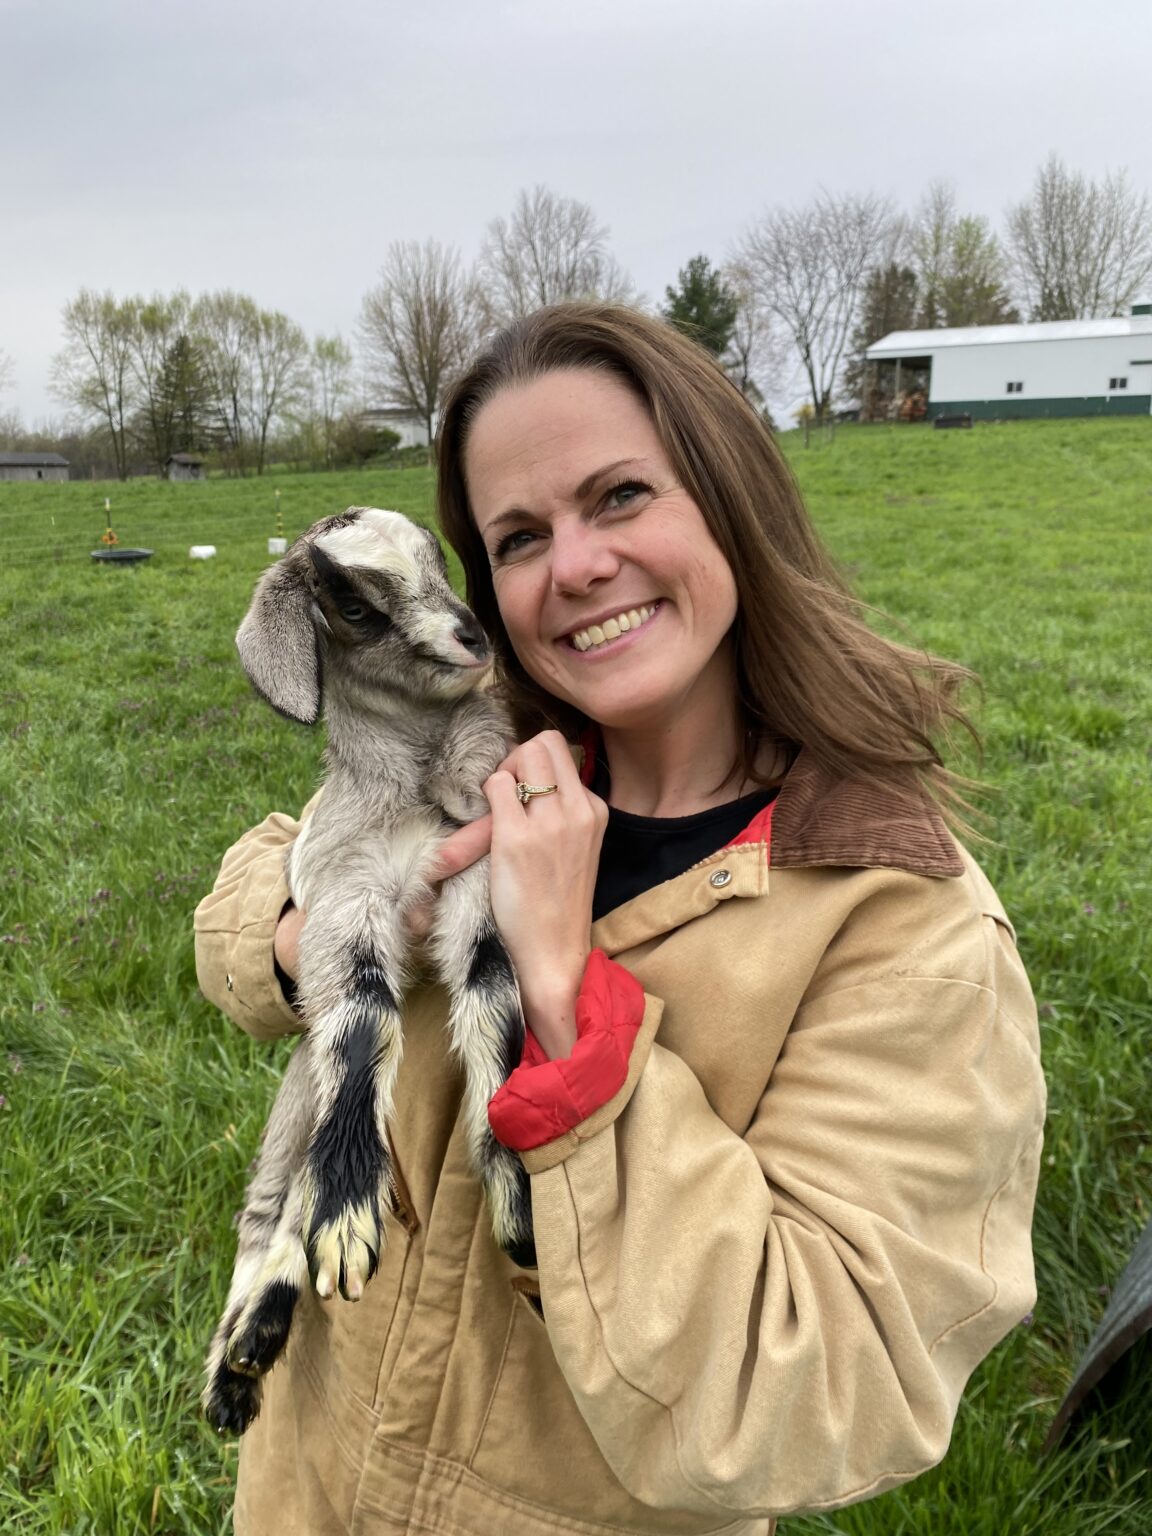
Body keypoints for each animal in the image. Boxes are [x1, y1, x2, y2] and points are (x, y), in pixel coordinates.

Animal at [202, 506, 534, 1435]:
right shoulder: (343, 906)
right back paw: (240, 1359)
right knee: (268, 1204)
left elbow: (494, 997)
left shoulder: (479, 882)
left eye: (438, 561)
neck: (416, 786)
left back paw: (257, 1342)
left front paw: (515, 1193)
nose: (471, 637)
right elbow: (360, 1024)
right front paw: (350, 1210)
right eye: (353, 608)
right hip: (290, 1100)